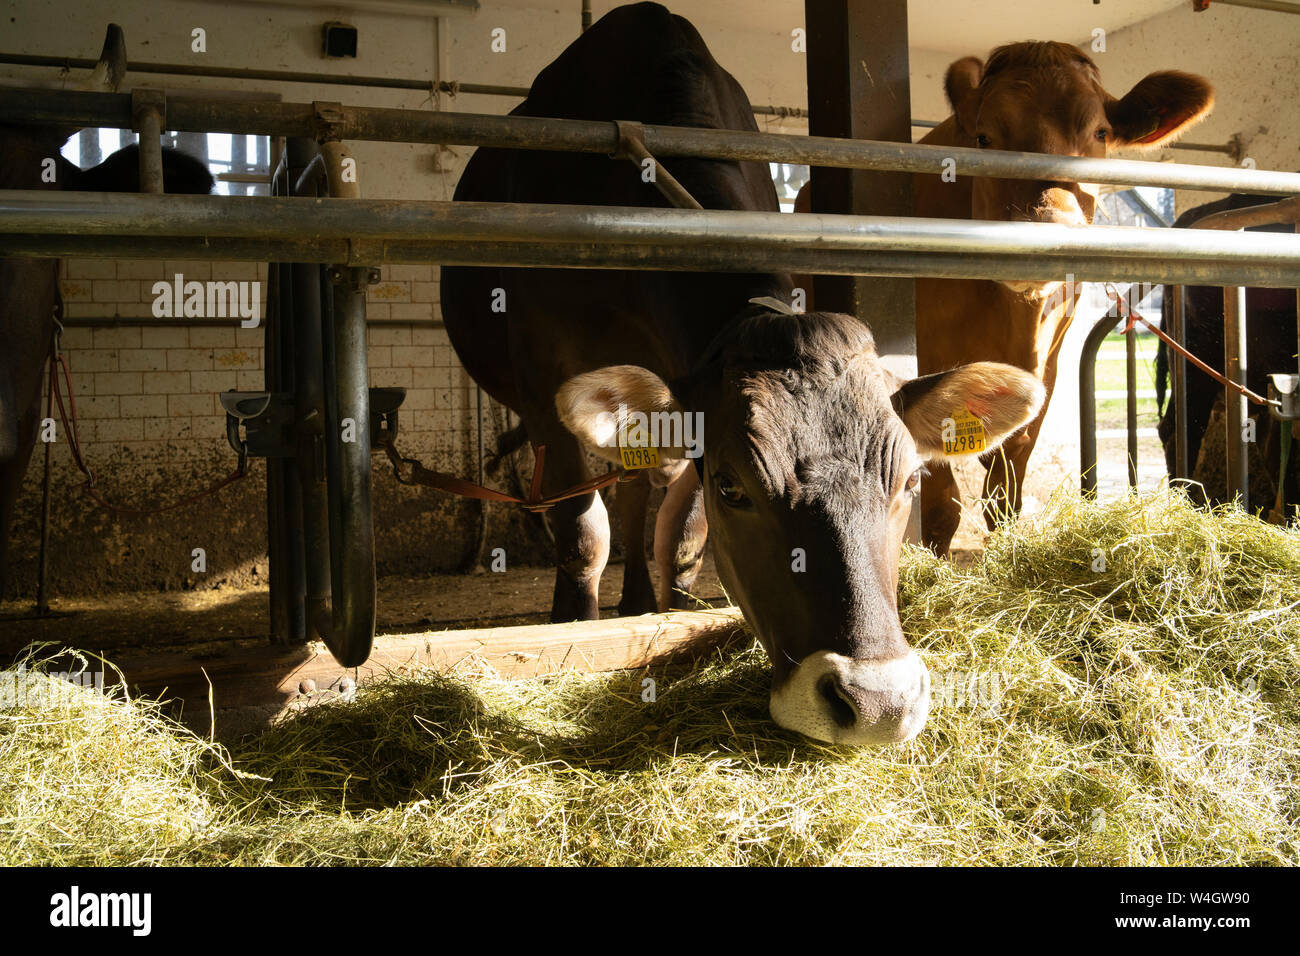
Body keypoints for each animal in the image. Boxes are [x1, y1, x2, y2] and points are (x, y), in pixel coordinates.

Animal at [440, 2, 1044, 745]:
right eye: (732, 487)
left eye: (907, 481)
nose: (876, 703)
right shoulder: (538, 379)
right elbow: (581, 532)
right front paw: (568, 629)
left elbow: (659, 520)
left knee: (640, 489)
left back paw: (639, 603)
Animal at [800, 42, 1213, 555]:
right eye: (983, 138)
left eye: (1100, 132)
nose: (1048, 228)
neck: (1013, 316)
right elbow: (940, 503)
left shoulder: (1046, 369)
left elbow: (1005, 492)